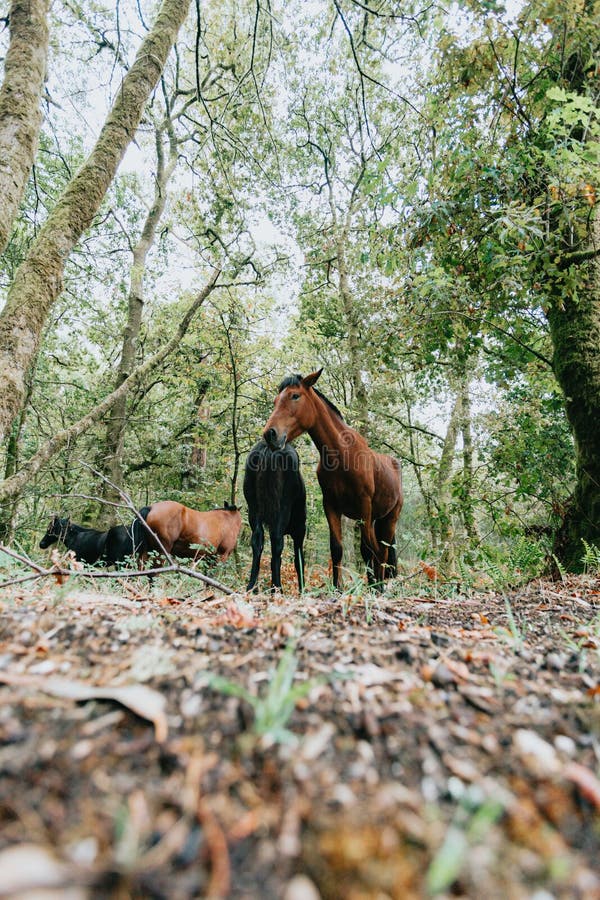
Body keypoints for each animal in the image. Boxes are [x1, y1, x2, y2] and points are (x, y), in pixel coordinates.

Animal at [243, 439, 306, 592]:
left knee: (257, 539)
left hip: (253, 506)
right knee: (276, 541)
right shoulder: (300, 529)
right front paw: (302, 590)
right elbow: (299, 561)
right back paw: (277, 588)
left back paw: (252, 587)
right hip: (283, 505)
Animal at [263, 369, 403, 590]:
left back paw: (378, 585)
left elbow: (367, 550)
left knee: (382, 551)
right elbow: (337, 548)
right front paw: (338, 588)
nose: (270, 434)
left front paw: (375, 589)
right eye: (276, 400)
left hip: (390, 518)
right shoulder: (331, 505)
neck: (342, 455)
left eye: (295, 396)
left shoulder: (364, 506)